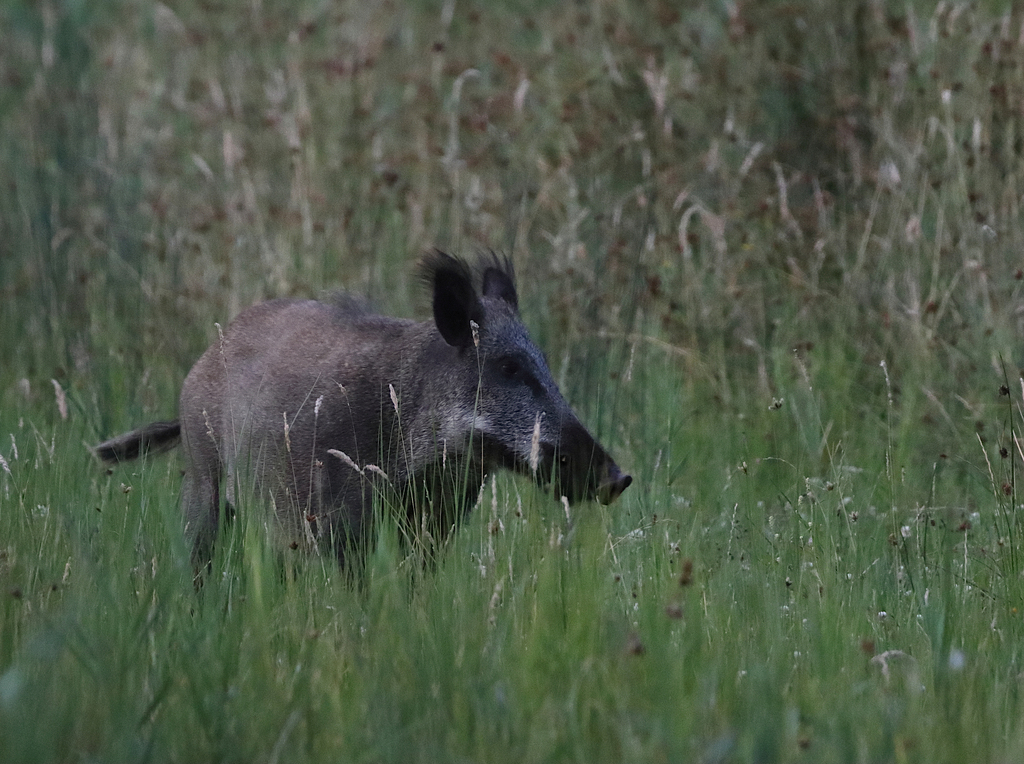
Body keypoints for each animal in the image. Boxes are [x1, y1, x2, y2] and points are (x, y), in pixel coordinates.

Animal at [95, 252, 631, 567]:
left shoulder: (435, 525)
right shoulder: (333, 522)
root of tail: (198, 369)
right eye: (508, 366)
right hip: (204, 482)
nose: (619, 477)